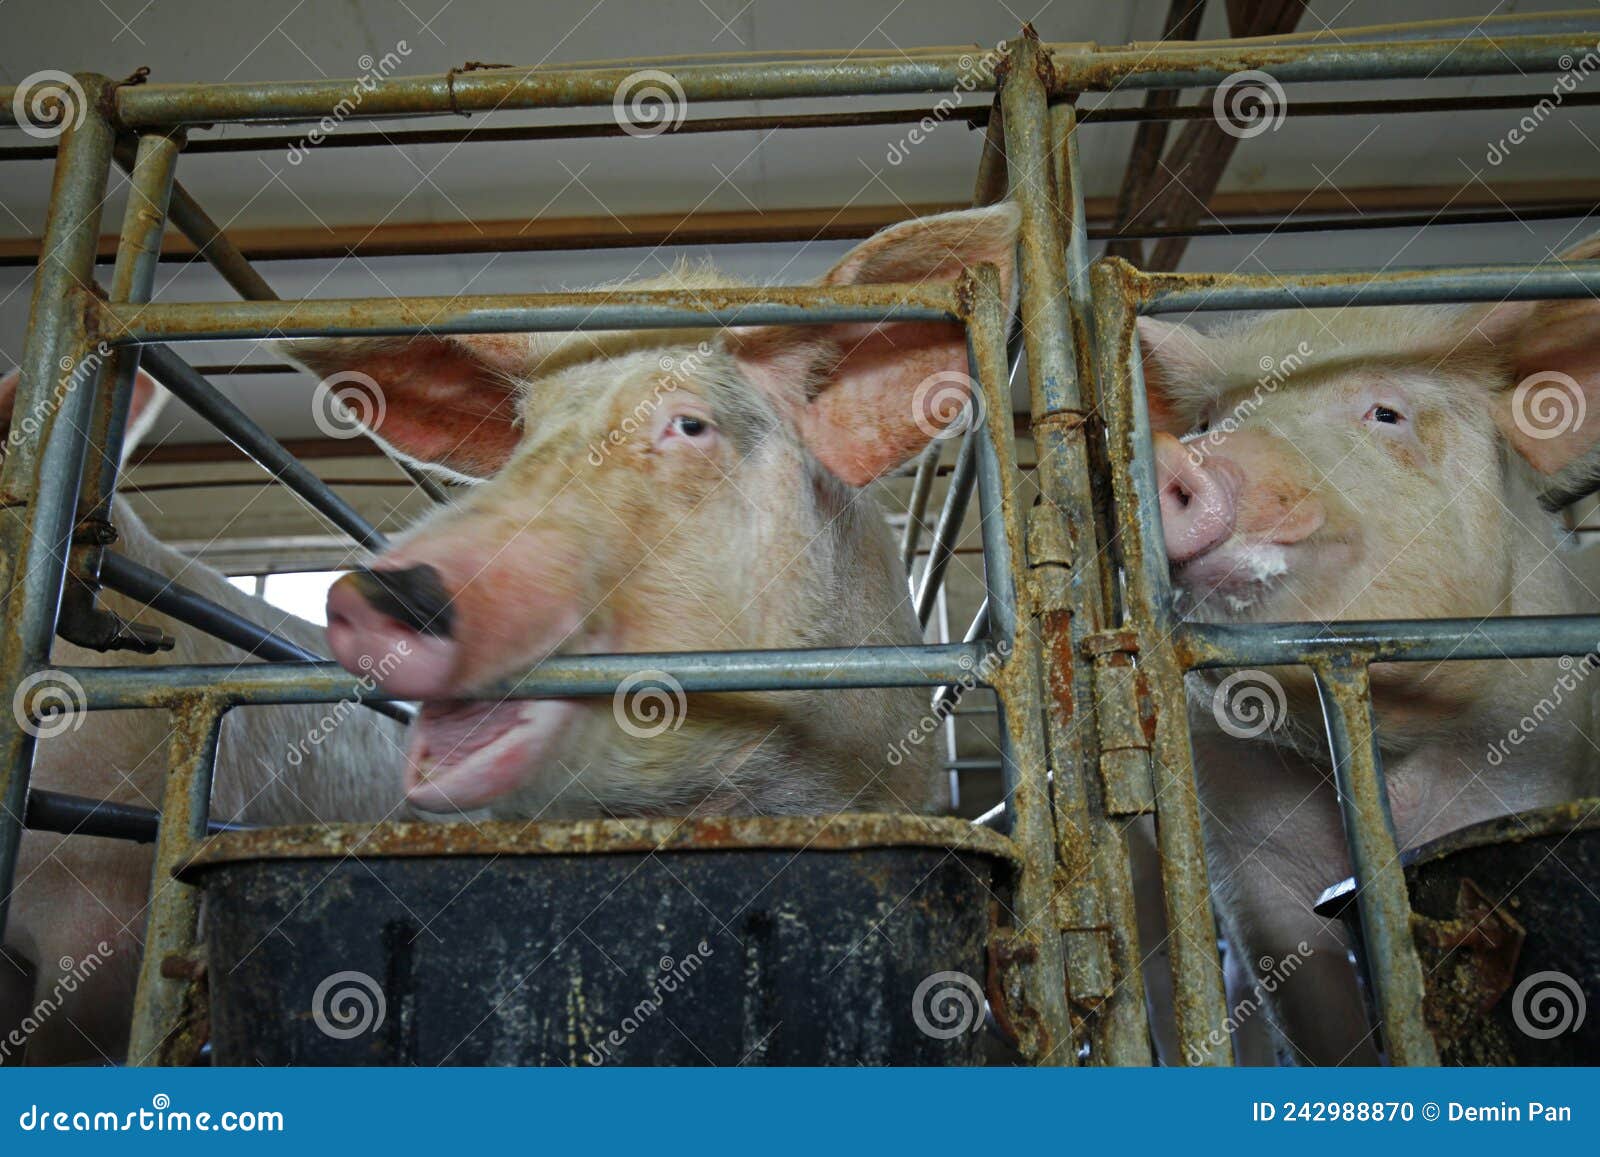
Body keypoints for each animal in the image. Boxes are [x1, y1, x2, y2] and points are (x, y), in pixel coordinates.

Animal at [1136, 236, 1600, 1064]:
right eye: (1211, 416)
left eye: (1387, 412)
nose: (1180, 455)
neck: (1390, 754)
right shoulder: (1242, 862)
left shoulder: (1533, 774)